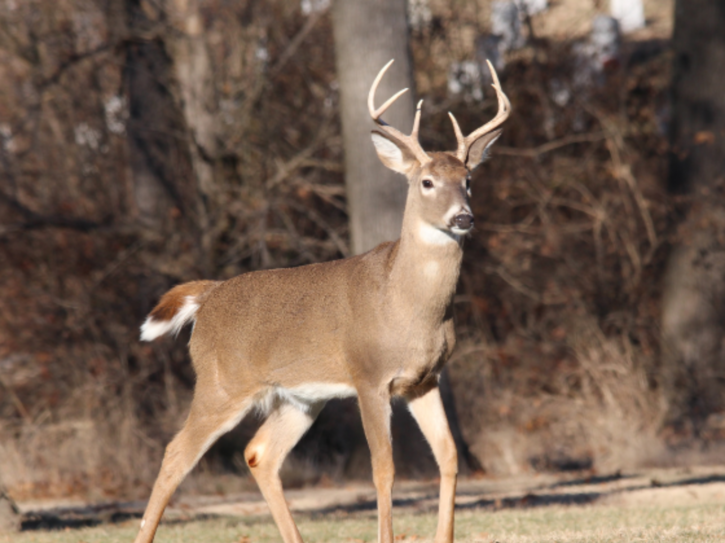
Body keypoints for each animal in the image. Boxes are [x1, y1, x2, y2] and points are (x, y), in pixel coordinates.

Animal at [132, 59, 510, 543]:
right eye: (426, 181)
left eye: (468, 180)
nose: (463, 217)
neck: (409, 308)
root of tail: (208, 295)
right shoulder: (369, 376)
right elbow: (383, 469)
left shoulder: (425, 380)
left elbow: (448, 457)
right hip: (220, 383)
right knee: (176, 452)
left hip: (299, 398)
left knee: (259, 452)